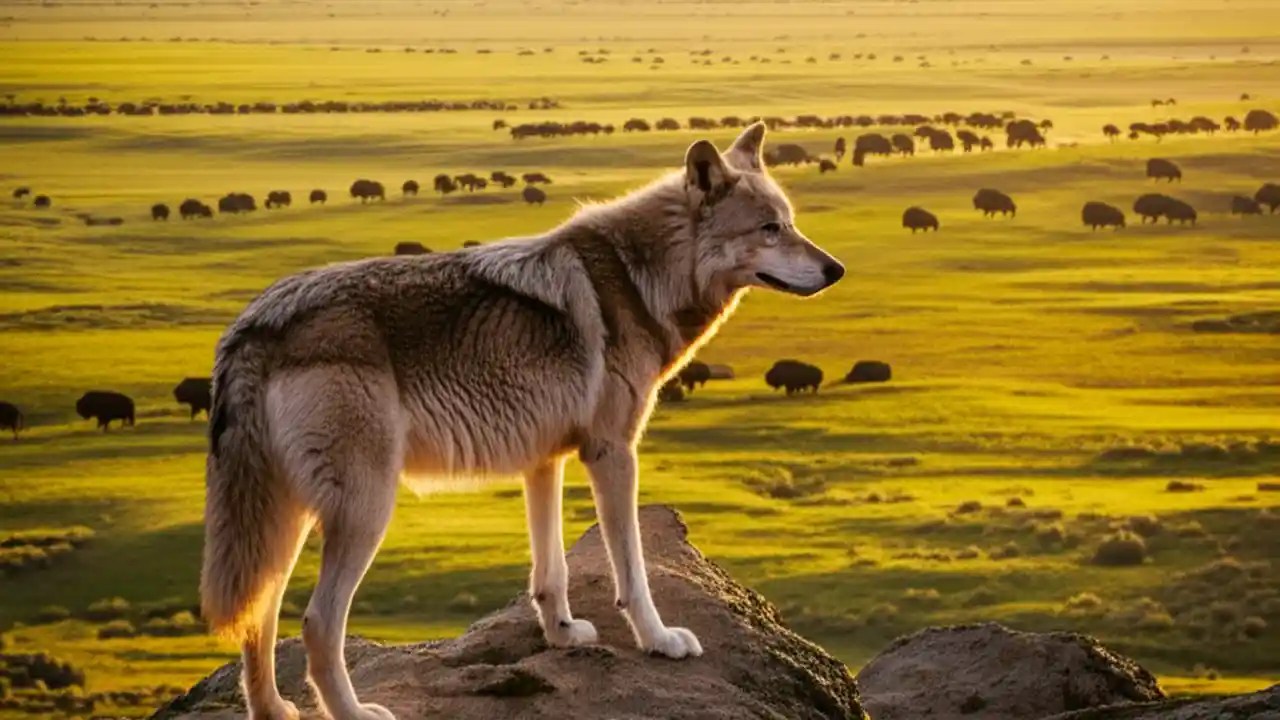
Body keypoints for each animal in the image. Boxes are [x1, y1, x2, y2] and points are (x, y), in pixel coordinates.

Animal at [200, 122, 844, 720]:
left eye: (790, 222)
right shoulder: (613, 452)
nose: (836, 269)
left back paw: (274, 709)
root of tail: (253, 325)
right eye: (769, 229)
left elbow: (550, 569)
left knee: (259, 615)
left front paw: (562, 634)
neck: (638, 279)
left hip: (286, 520)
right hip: (363, 510)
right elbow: (632, 570)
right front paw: (659, 640)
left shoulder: (546, 458)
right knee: (315, 622)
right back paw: (356, 712)